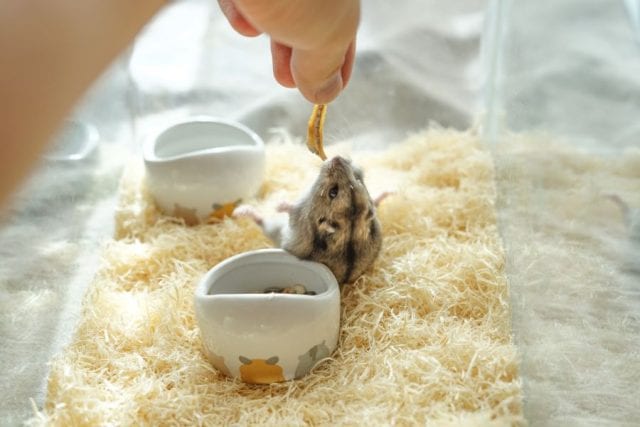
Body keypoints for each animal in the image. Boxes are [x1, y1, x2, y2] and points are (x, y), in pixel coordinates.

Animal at [235, 156, 387, 284]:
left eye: (333, 192)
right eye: (357, 180)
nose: (337, 157)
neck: (351, 226)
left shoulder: (298, 215)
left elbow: (291, 209)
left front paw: (279, 205)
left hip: (275, 227)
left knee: (260, 220)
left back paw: (241, 211)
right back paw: (386, 193)